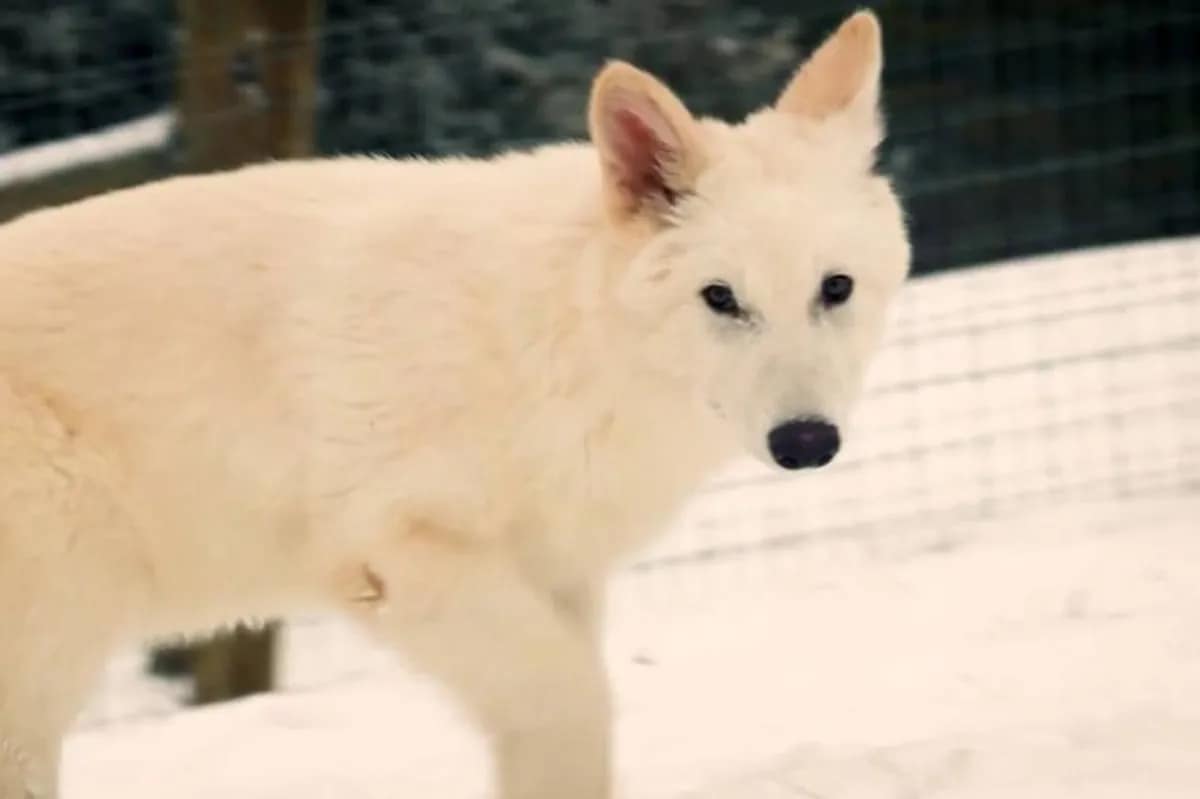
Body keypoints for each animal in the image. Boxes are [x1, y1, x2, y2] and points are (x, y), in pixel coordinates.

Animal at [0, 10, 909, 798]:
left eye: (835, 288)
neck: (563, 351)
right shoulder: (407, 554)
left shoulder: (556, 581)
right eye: (721, 298)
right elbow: (577, 705)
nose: (806, 442)